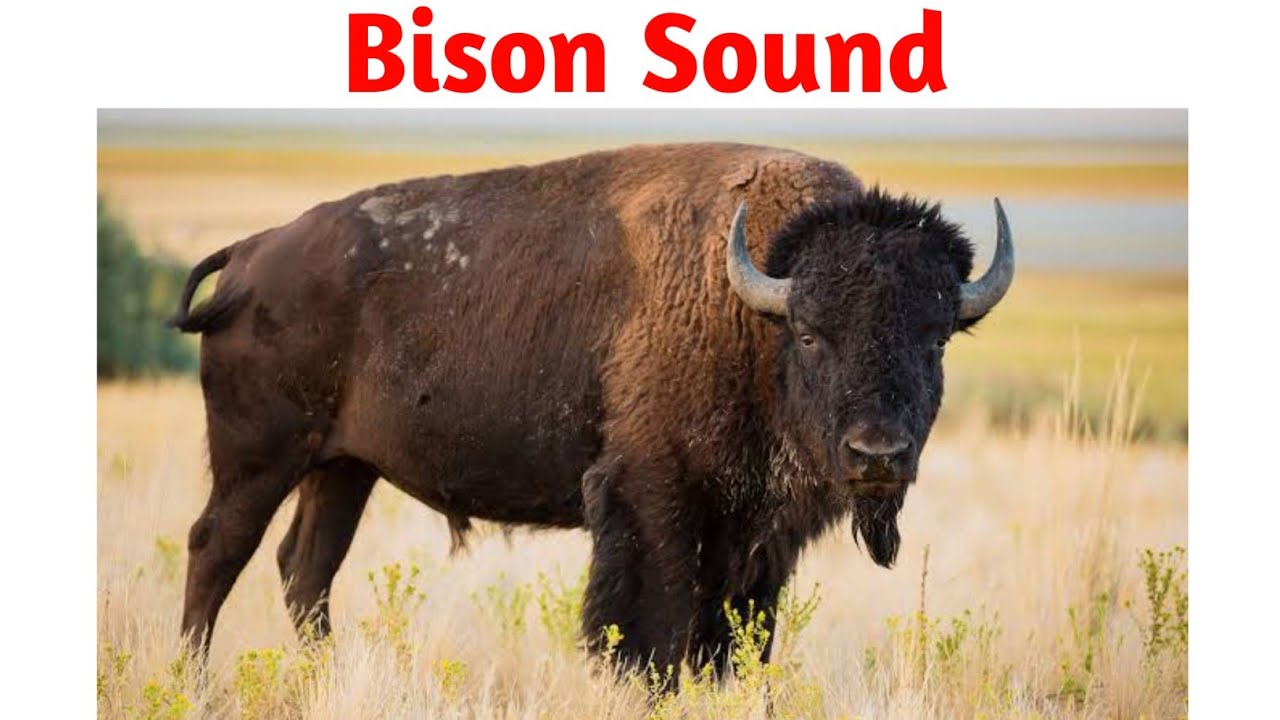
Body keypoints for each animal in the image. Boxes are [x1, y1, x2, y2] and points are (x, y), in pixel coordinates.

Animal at [171, 143, 1013, 677]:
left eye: (936, 338)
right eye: (810, 333)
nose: (878, 455)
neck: (751, 308)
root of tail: (252, 254)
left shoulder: (759, 536)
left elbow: (734, 639)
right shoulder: (653, 500)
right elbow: (653, 634)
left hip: (343, 468)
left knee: (305, 569)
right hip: (259, 458)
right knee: (217, 550)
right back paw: (192, 681)